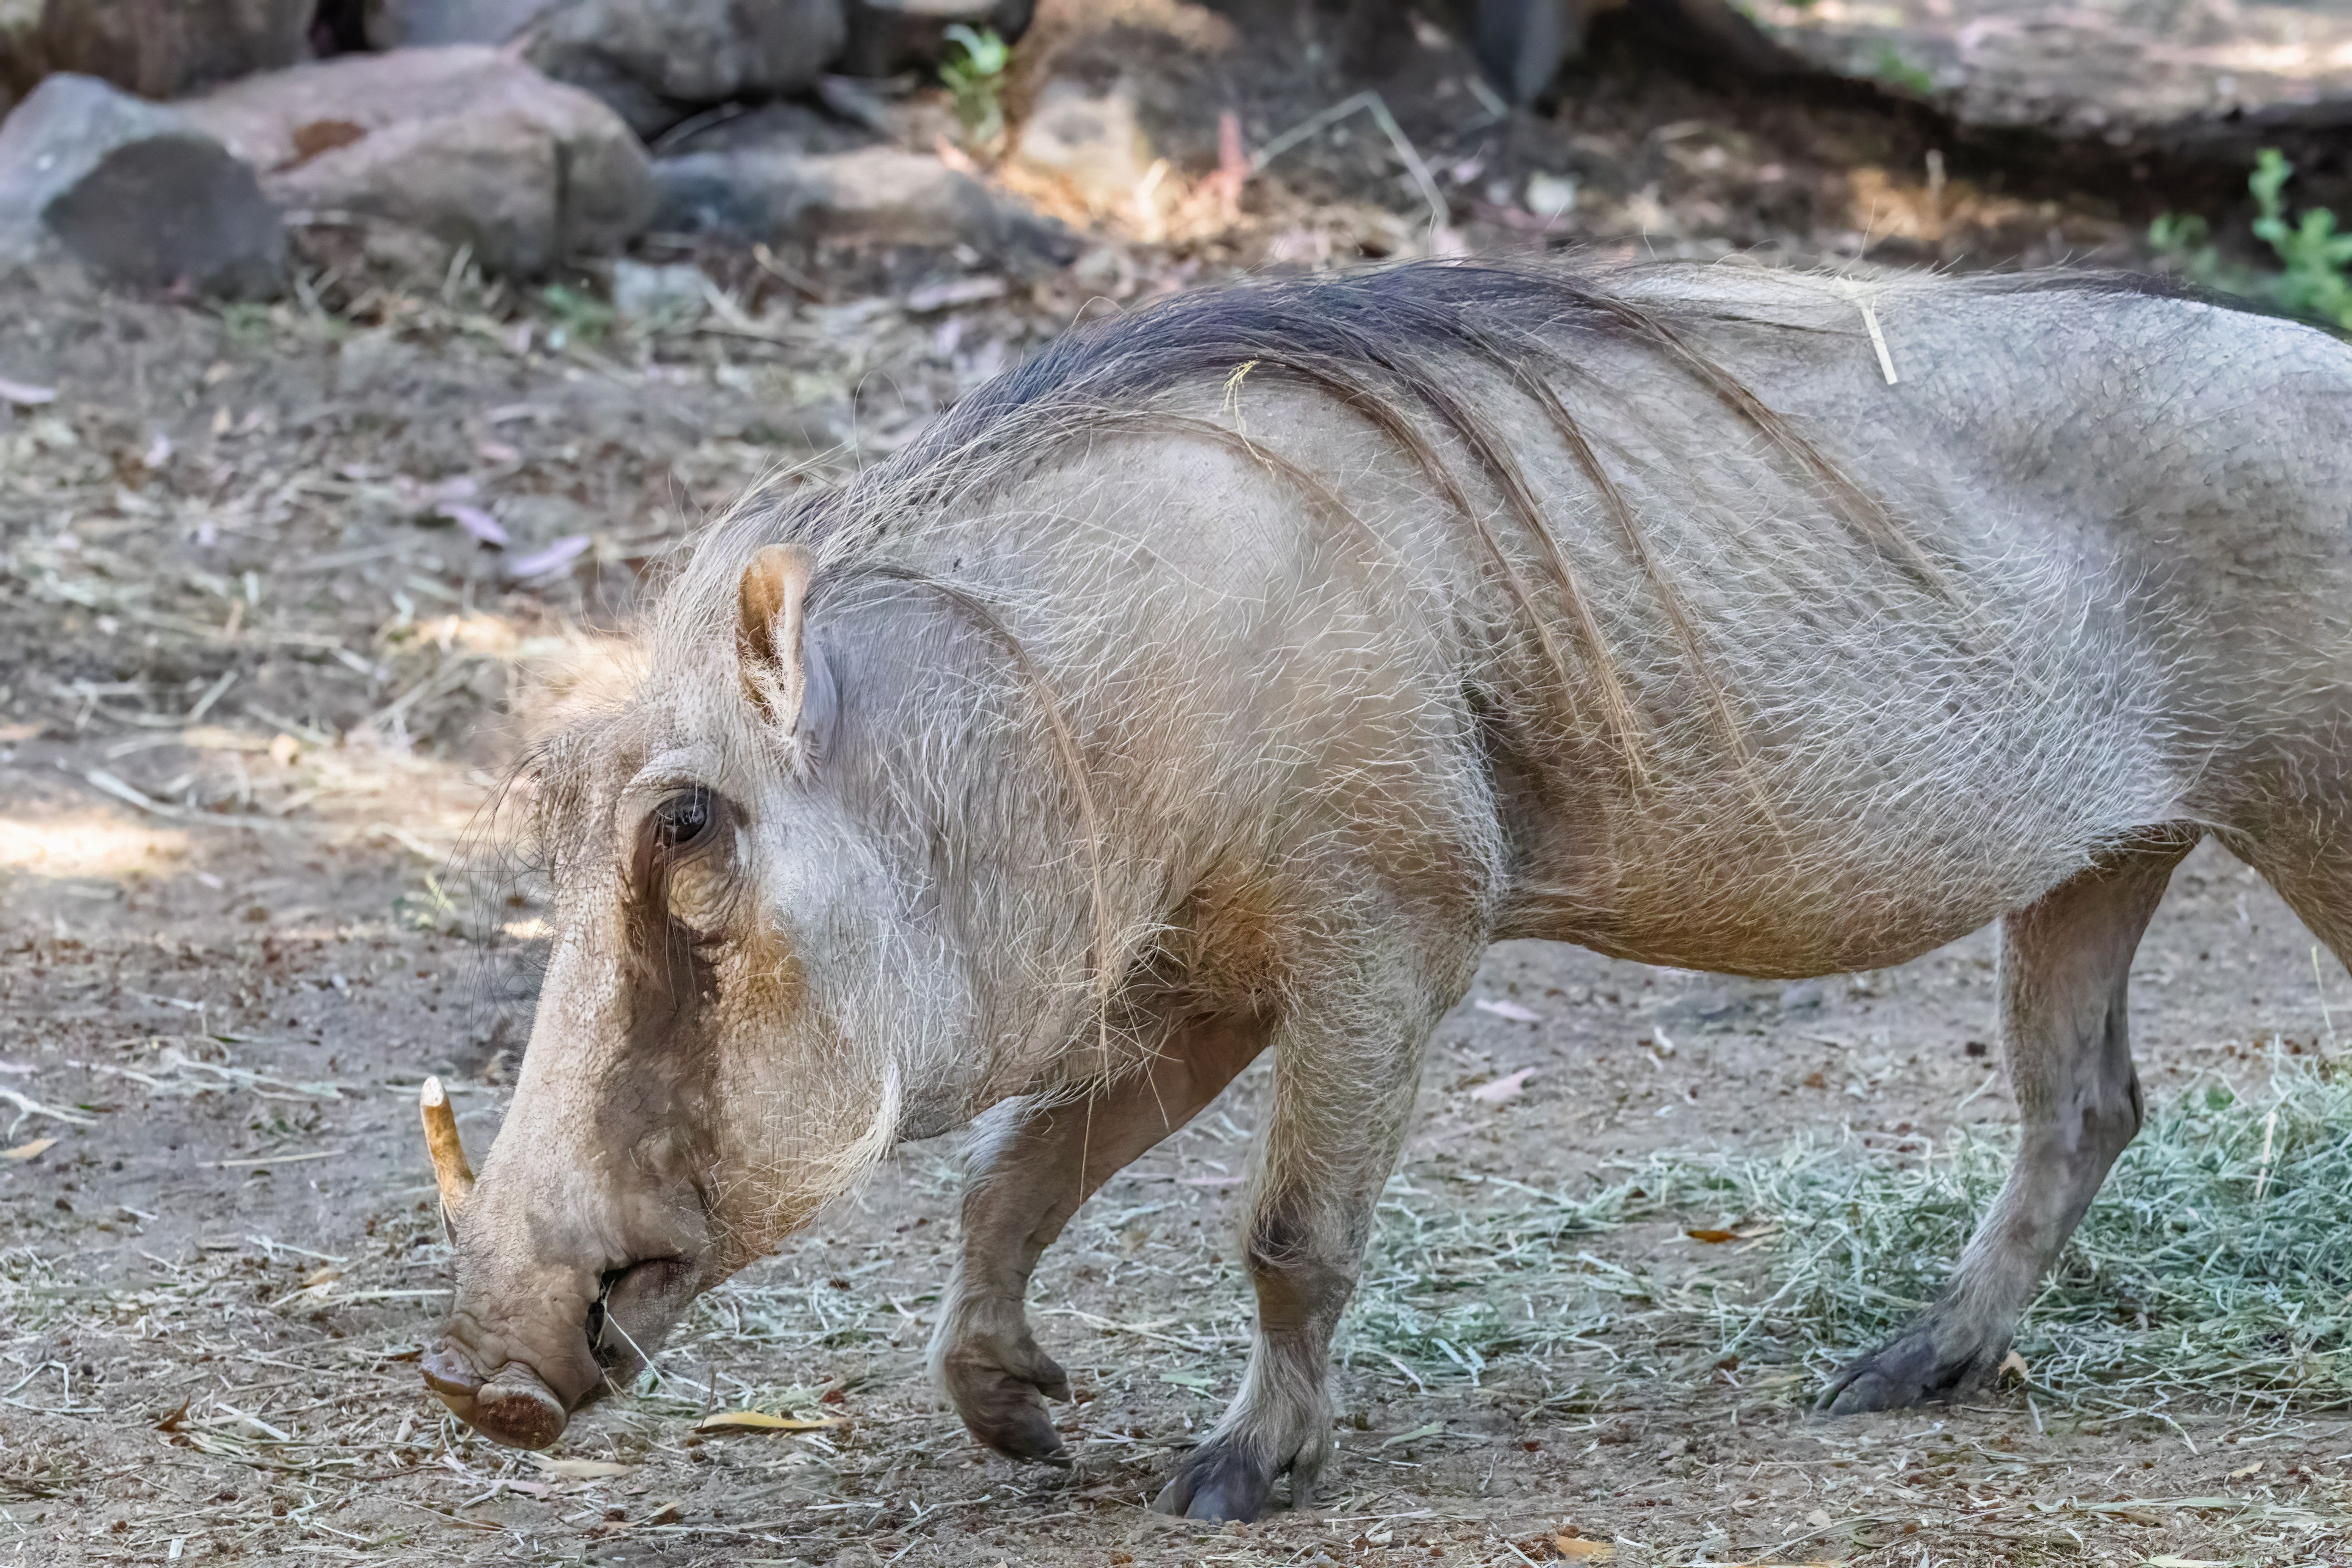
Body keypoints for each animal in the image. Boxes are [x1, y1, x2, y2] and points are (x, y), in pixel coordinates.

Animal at [419, 258, 2352, 1522]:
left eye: (688, 831)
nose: (474, 1376)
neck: (1049, 719)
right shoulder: (1195, 979)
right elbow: (1009, 1180)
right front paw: (1021, 1418)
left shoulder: (1382, 929)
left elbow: (1288, 1233)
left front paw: (1240, 1472)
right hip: (2100, 858)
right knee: (2080, 1106)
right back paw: (1906, 1368)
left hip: (2312, 819)